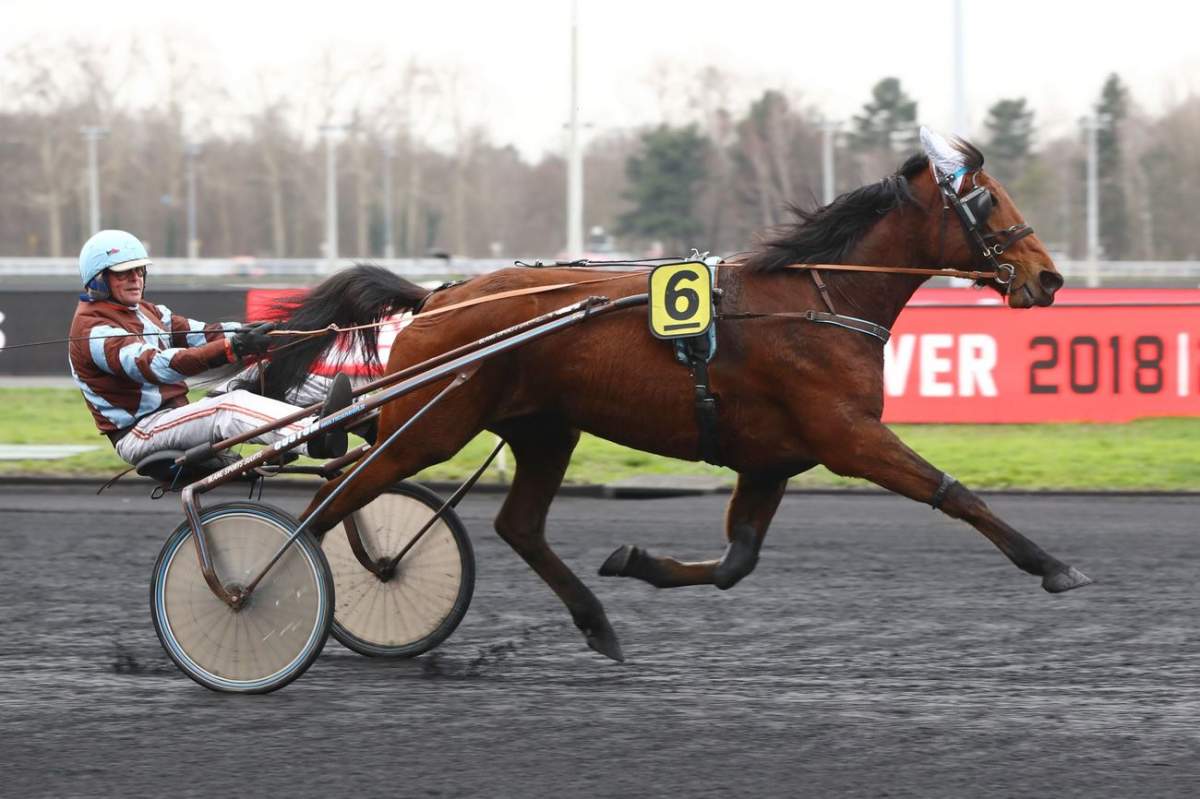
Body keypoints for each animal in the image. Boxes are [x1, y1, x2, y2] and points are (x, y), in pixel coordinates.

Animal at [258, 128, 1091, 662]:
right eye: (987, 203)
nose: (1049, 276)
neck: (820, 299)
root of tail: (437, 297)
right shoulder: (847, 435)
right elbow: (954, 491)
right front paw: (1054, 564)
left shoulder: (772, 458)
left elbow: (736, 561)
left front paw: (636, 560)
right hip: (435, 424)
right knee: (336, 495)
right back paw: (261, 589)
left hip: (543, 428)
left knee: (513, 523)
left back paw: (596, 622)